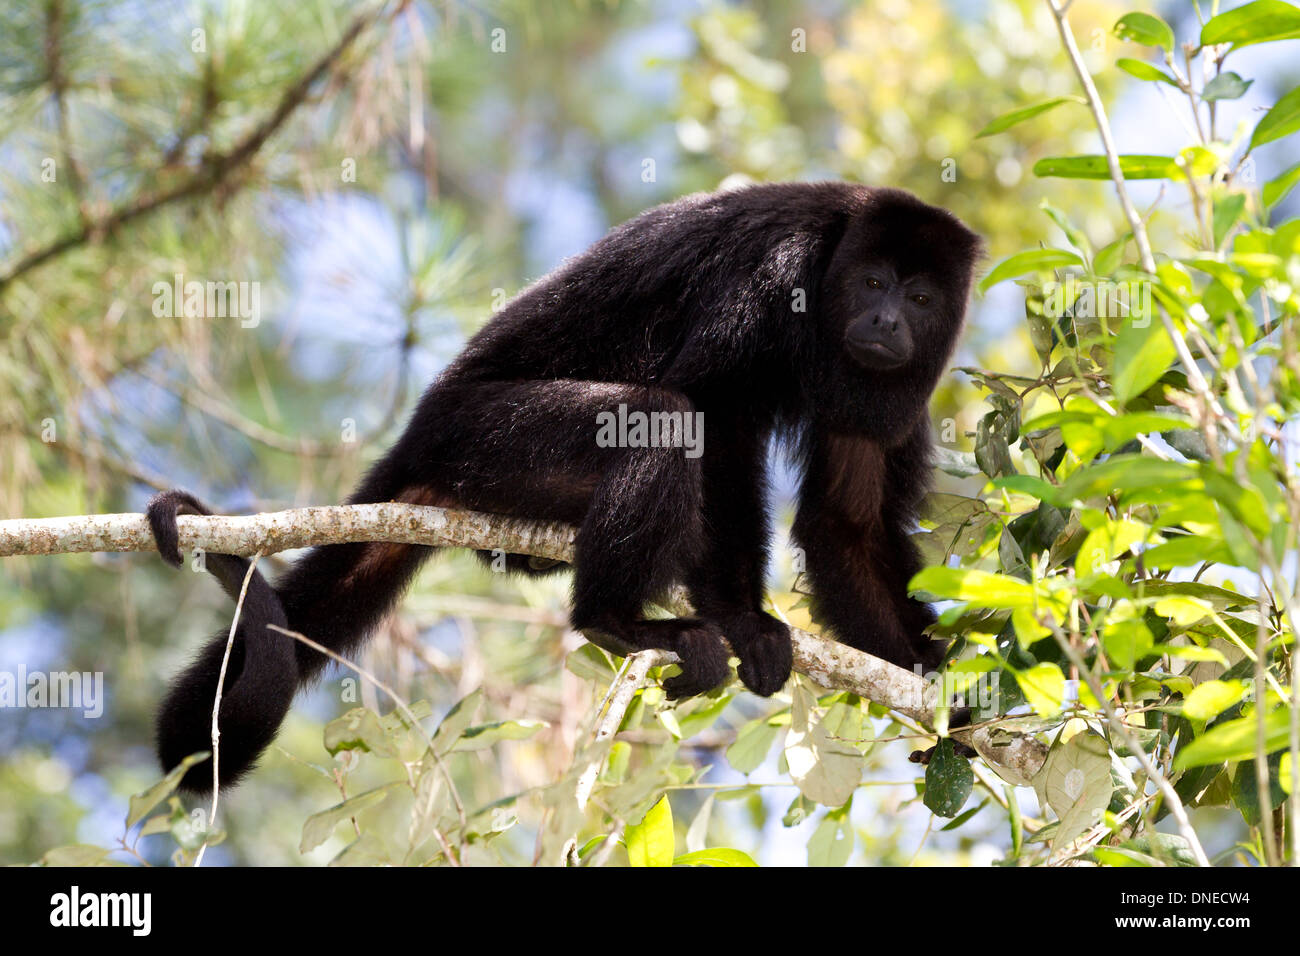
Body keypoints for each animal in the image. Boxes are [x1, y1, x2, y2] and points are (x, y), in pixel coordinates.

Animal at [147, 181, 982, 792]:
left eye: (920, 298)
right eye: (873, 281)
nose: (884, 319)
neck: (834, 260)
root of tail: (420, 435)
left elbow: (846, 525)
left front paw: (949, 691)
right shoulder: (776, 272)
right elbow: (711, 417)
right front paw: (745, 619)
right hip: (483, 436)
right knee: (660, 419)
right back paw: (615, 622)